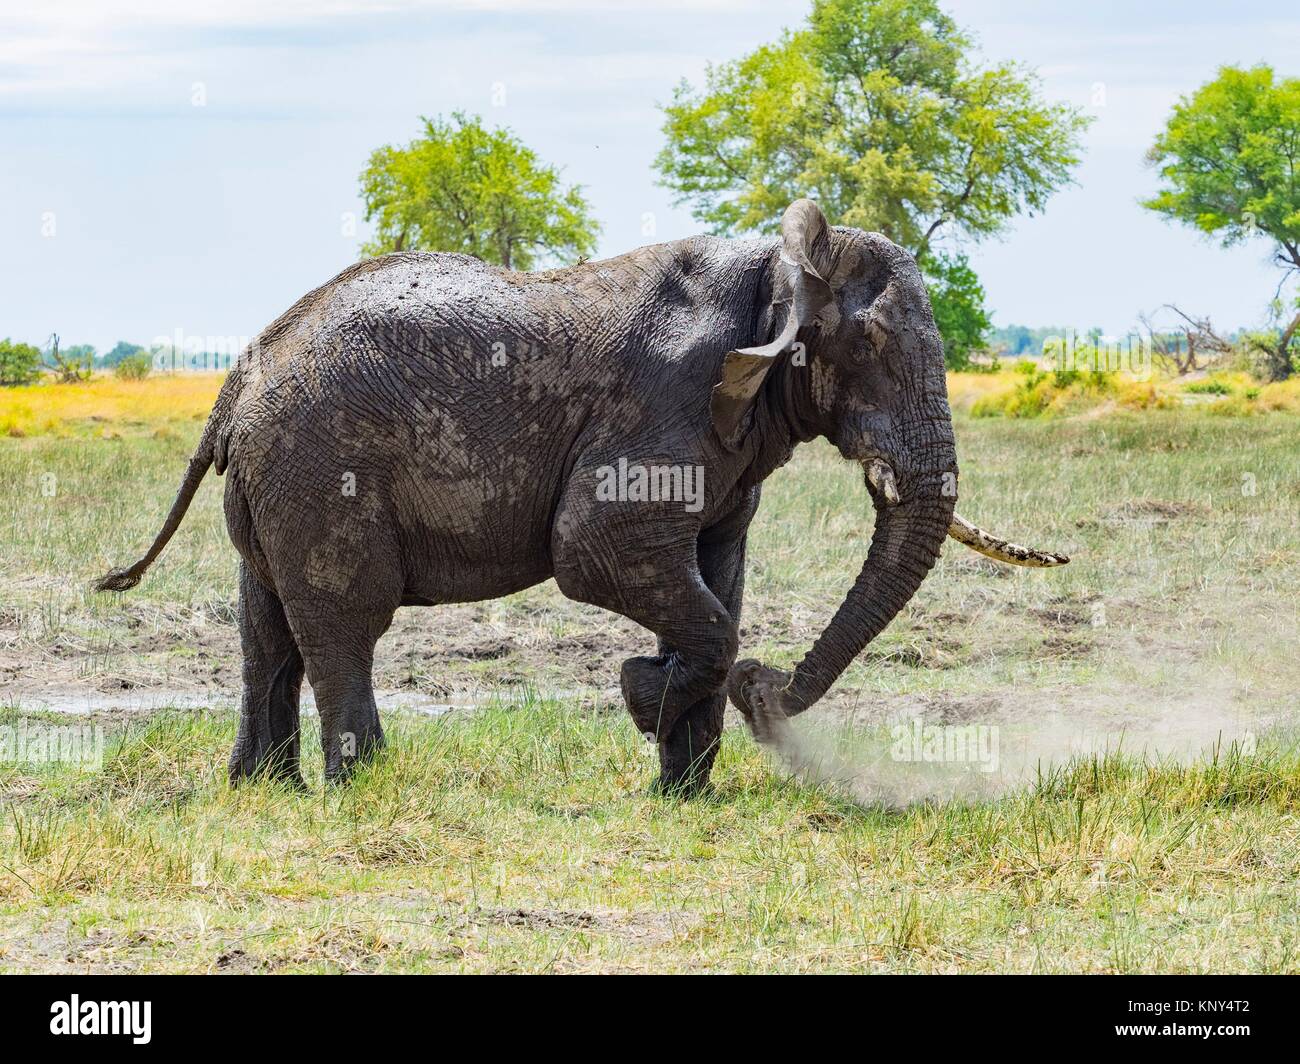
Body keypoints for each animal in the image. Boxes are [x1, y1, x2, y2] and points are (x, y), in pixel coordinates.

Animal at [96, 198, 1067, 794]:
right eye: (867, 347)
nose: (767, 686)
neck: (775, 264)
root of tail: (240, 374)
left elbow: (719, 578)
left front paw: (684, 785)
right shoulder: (664, 406)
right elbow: (598, 553)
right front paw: (647, 696)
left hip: (274, 479)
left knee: (266, 629)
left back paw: (268, 788)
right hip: (318, 468)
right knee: (343, 623)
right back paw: (364, 784)